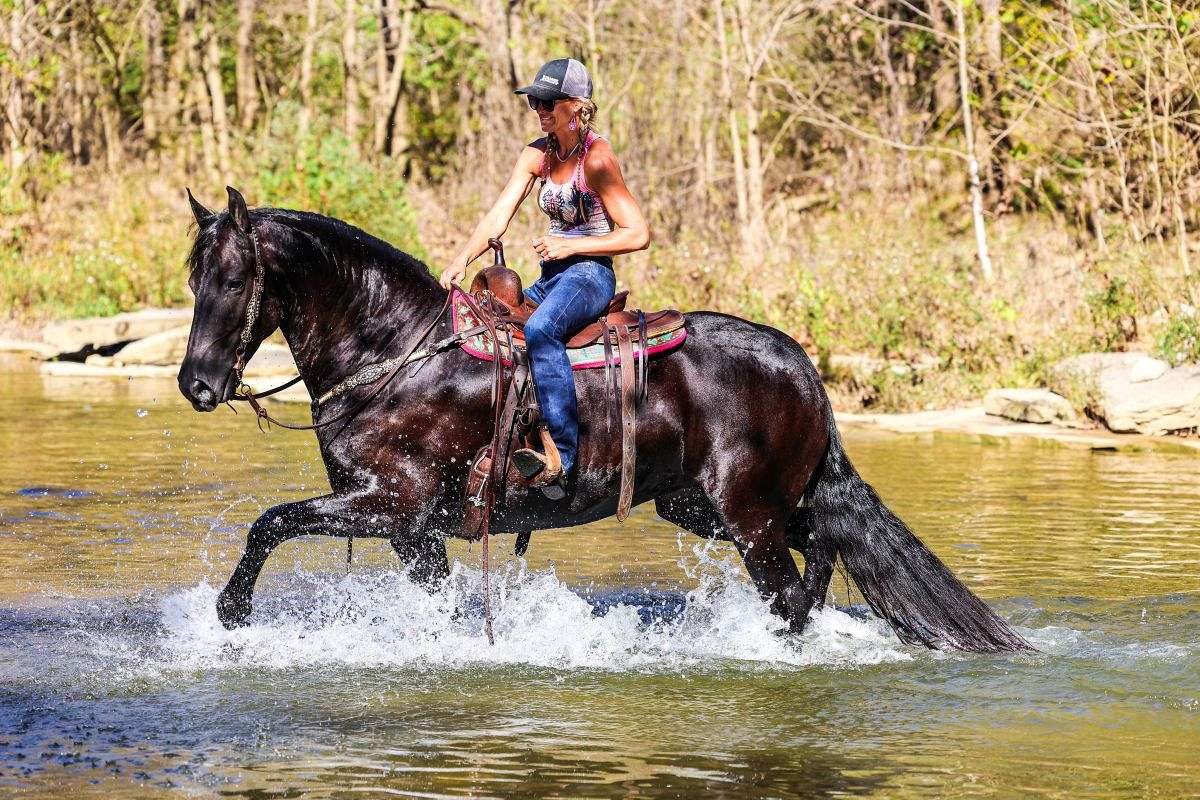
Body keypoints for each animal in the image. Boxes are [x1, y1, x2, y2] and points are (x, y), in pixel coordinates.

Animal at [178, 186, 1030, 653]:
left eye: (233, 278)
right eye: (194, 279)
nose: (196, 384)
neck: (397, 352)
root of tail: (802, 366)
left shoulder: (393, 504)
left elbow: (270, 521)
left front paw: (231, 614)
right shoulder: (412, 531)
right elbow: (435, 600)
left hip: (747, 513)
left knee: (790, 592)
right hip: (708, 506)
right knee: (823, 549)